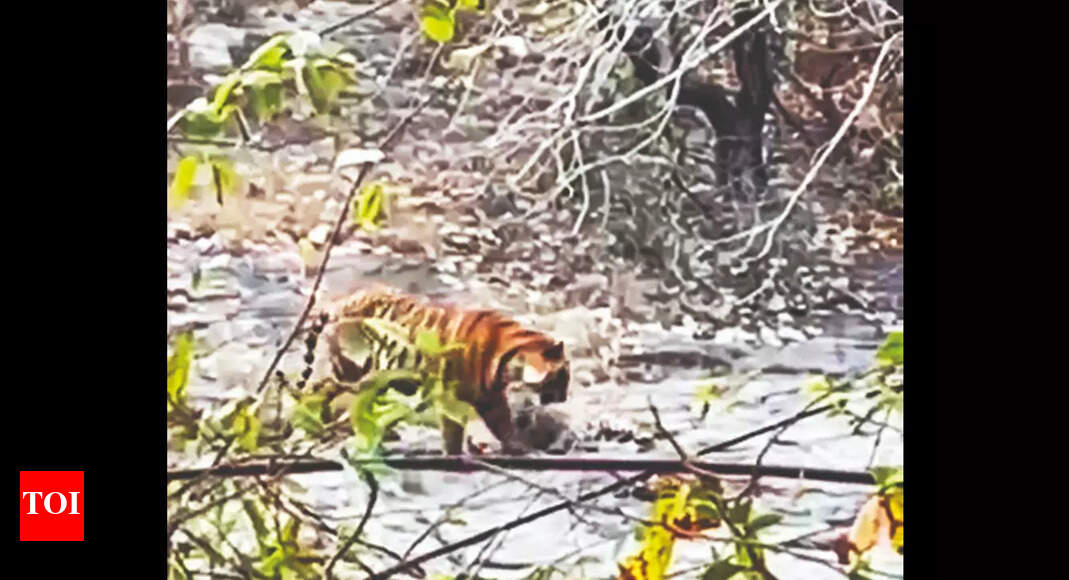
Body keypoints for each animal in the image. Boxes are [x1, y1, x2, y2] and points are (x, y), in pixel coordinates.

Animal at [321, 286, 569, 455]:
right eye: (563, 376)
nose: (564, 398)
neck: (508, 364)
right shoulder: (450, 395)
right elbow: (455, 429)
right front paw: (455, 454)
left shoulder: (490, 397)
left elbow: (503, 424)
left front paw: (517, 447)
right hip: (353, 372)